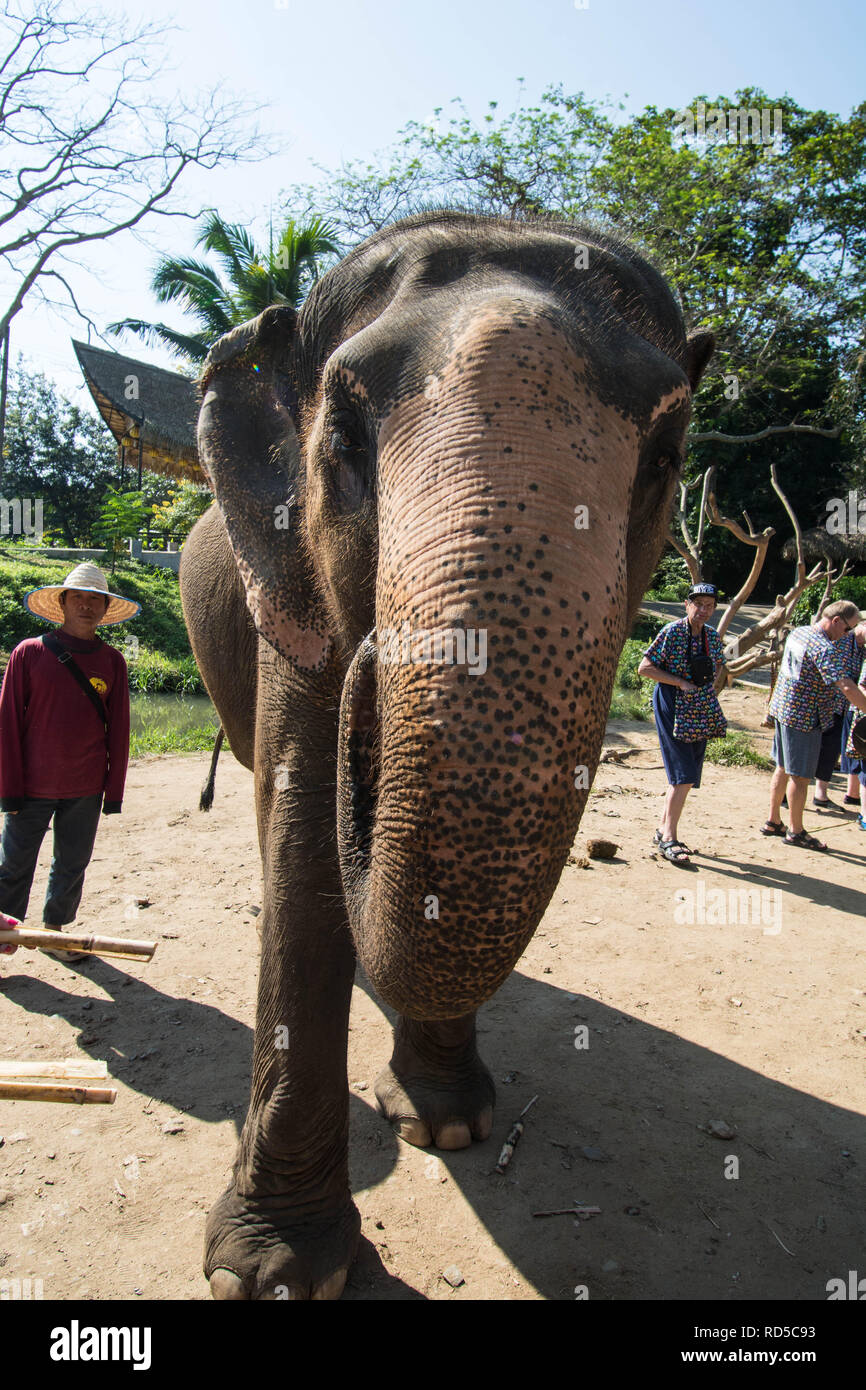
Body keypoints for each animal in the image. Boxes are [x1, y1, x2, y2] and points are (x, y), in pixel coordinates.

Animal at [179, 210, 714, 1299]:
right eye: (341, 437)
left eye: (670, 450)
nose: (372, 676)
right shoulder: (292, 607)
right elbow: (304, 847)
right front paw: (272, 1272)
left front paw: (450, 1127)